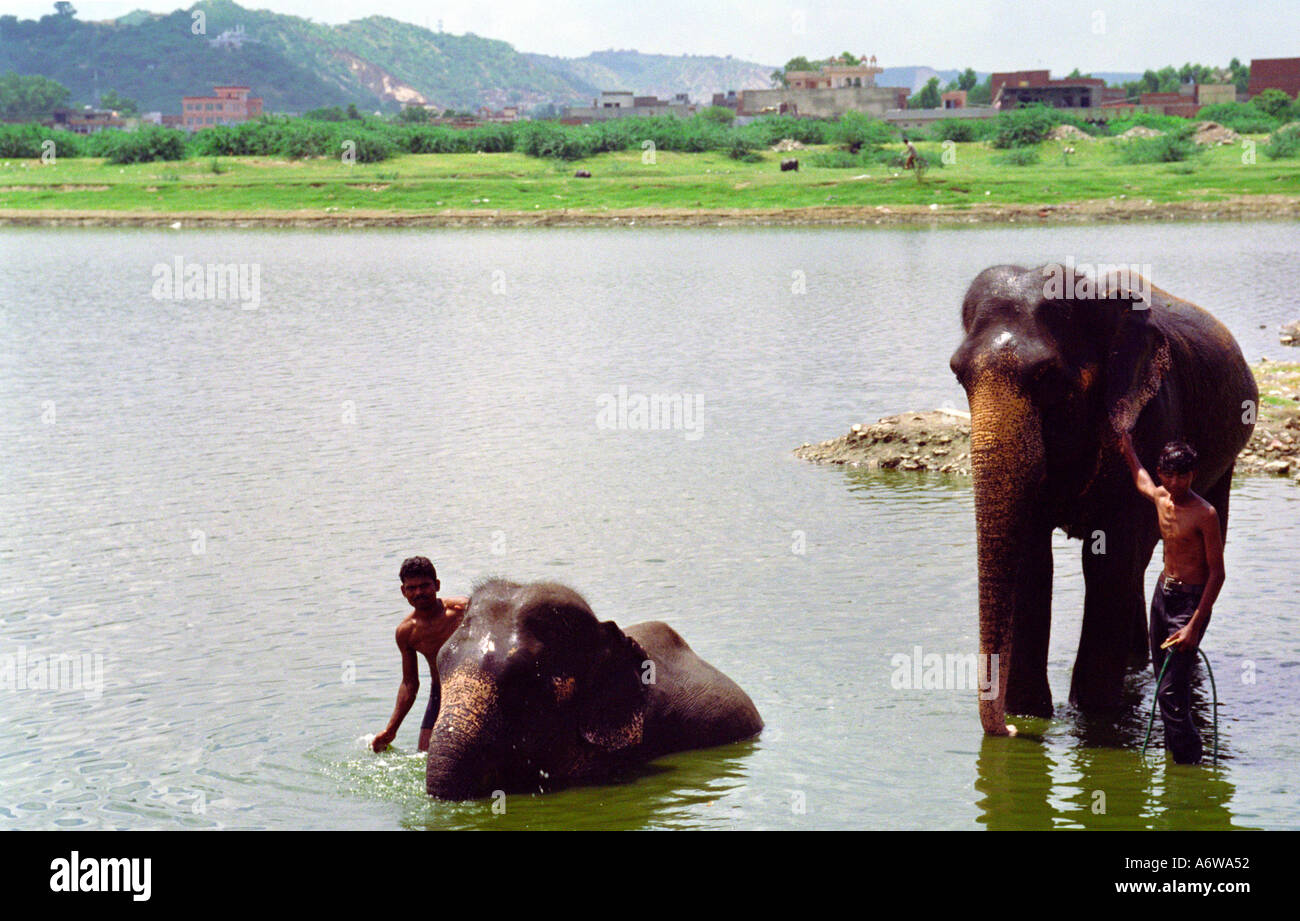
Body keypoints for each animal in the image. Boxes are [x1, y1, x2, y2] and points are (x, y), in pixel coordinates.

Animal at [948, 263, 1256, 736]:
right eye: (957, 374)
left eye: (1046, 376)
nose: (1007, 732)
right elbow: (1032, 561)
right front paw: (1029, 715)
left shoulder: (1151, 419)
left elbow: (1109, 559)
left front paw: (1094, 721)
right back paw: (1137, 662)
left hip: (1225, 462)